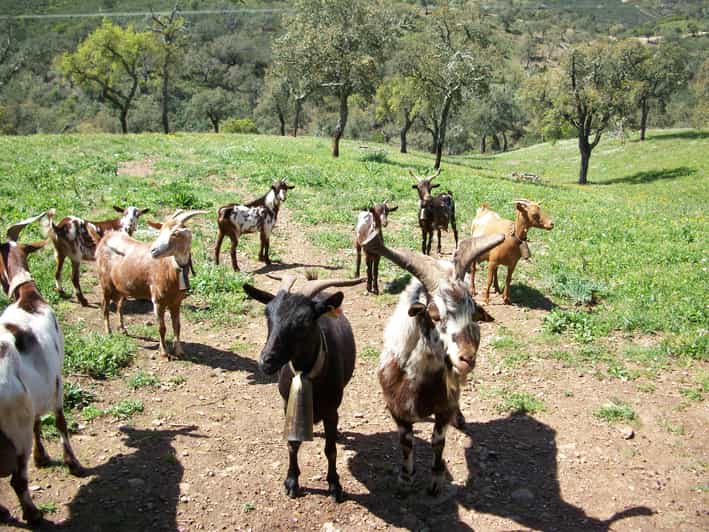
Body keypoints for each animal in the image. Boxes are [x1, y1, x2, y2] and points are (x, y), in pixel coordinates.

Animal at [0, 213, 83, 525]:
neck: (29, 298)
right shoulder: (55, 380)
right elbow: (59, 421)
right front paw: (72, 462)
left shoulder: (42, 383)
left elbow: (42, 421)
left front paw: (43, 457)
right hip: (15, 428)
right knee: (18, 480)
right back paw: (33, 513)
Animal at [93, 209, 206, 358]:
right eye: (161, 231)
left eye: (175, 233)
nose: (153, 250)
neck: (170, 270)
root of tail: (104, 238)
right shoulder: (157, 300)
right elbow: (161, 327)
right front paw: (164, 352)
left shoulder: (177, 301)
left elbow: (177, 326)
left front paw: (179, 351)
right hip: (105, 283)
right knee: (105, 307)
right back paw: (109, 332)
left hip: (122, 287)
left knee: (119, 306)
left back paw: (122, 329)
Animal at [243, 274, 364, 502]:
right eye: (267, 314)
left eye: (305, 321)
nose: (266, 361)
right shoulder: (287, 404)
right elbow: (292, 443)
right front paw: (291, 482)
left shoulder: (331, 409)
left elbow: (331, 449)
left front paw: (334, 485)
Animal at [362, 232, 503, 495]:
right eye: (435, 314)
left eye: (472, 314)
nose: (467, 358)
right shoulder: (396, 408)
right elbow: (406, 442)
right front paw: (405, 479)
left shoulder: (444, 406)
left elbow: (438, 441)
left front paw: (436, 482)